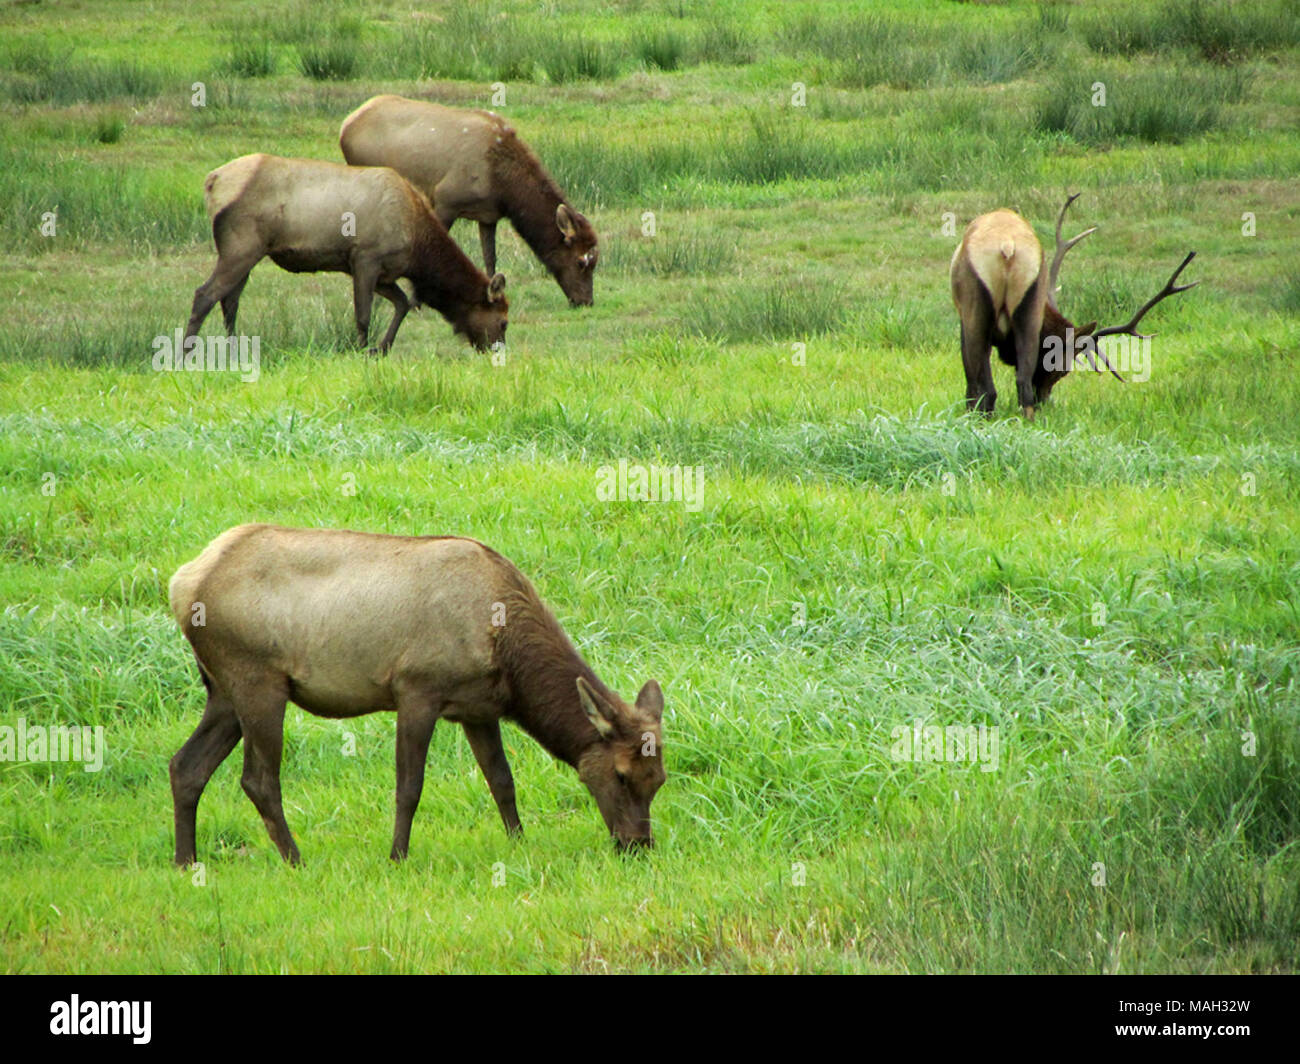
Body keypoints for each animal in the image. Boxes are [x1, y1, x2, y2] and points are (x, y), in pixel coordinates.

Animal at [167, 524, 665, 866]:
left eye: (658, 780)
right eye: (621, 775)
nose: (638, 845)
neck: (507, 655)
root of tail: (181, 585)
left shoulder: (478, 709)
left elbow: (502, 781)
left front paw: (519, 841)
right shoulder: (416, 689)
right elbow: (409, 787)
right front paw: (397, 856)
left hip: (223, 691)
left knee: (186, 766)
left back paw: (185, 860)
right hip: (257, 679)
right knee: (258, 779)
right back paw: (296, 859)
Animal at [184, 154, 508, 355]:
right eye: (503, 321)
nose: (499, 352)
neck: (417, 248)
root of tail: (212, 181)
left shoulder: (382, 272)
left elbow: (402, 303)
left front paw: (381, 348)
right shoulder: (365, 257)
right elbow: (363, 315)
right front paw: (362, 350)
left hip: (248, 253)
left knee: (230, 301)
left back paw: (234, 351)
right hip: (240, 247)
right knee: (204, 294)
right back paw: (185, 354)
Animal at [340, 95, 599, 307]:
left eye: (595, 261)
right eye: (581, 261)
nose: (586, 301)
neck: (503, 186)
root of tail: (345, 127)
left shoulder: (488, 215)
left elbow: (490, 258)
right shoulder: (445, 199)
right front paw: (417, 301)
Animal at [950, 193, 1197, 418]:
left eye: (1063, 372)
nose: (1045, 401)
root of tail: (1007, 247)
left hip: (976, 311)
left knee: (985, 390)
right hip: (1028, 309)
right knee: (1022, 383)